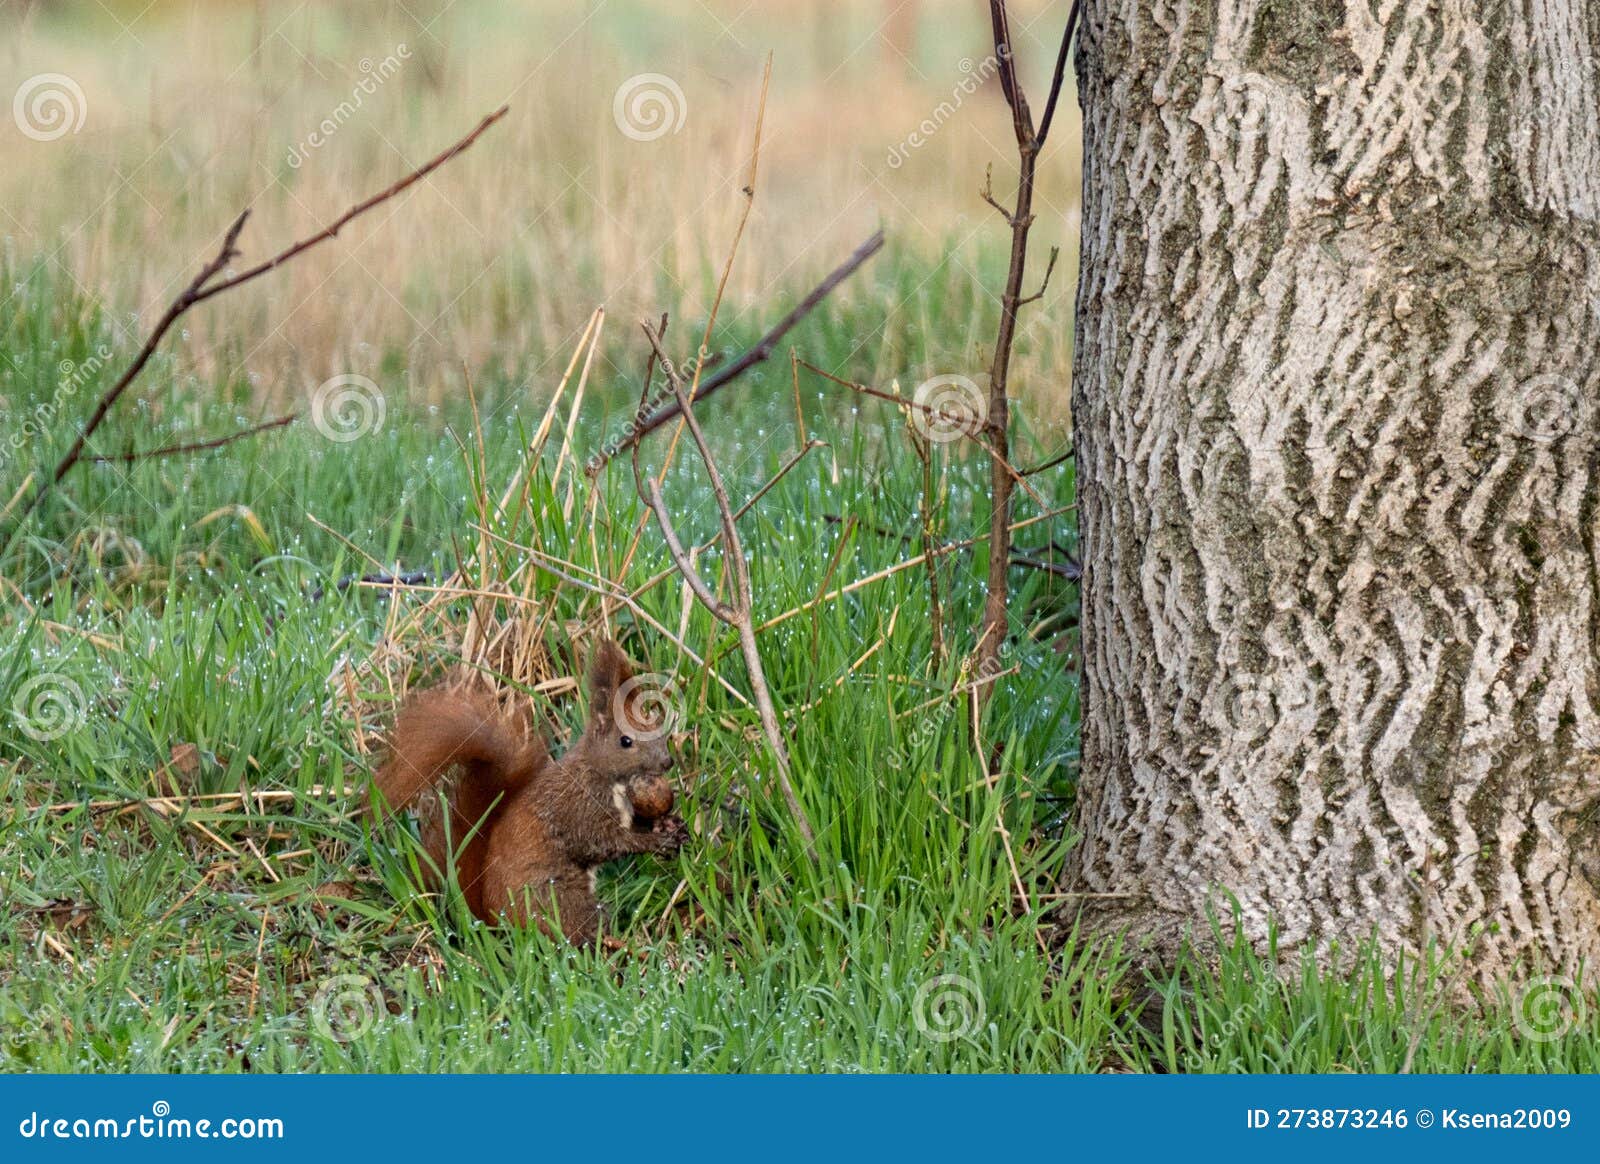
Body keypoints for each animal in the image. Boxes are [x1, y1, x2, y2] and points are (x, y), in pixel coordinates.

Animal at [371, 639, 687, 944]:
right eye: (625, 741)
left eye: (657, 727)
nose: (667, 761)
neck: (604, 776)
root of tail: (492, 921)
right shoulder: (581, 808)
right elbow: (604, 841)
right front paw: (655, 841)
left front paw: (669, 825)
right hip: (559, 900)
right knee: (582, 936)